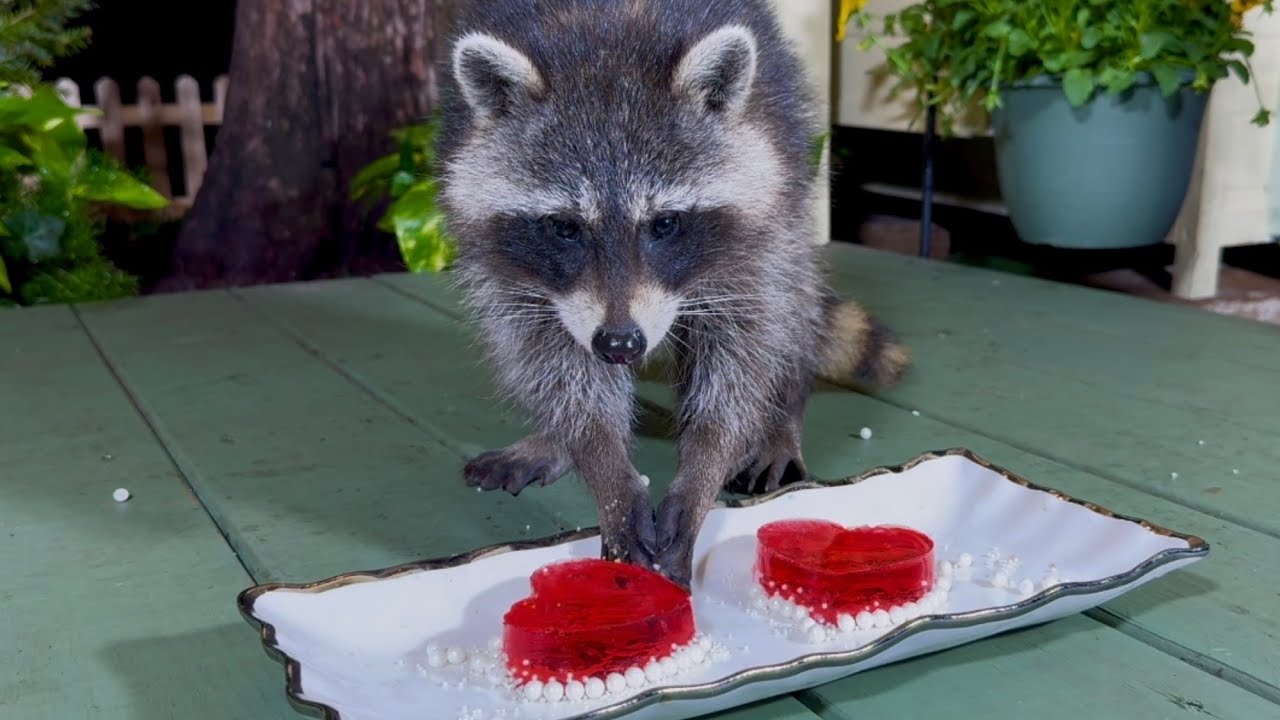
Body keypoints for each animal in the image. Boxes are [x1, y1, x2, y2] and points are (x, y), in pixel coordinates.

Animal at [434, 0, 911, 588]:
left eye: (664, 224)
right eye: (565, 228)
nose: (620, 344)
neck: (603, 44)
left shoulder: (751, 227)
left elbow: (743, 349)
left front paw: (705, 465)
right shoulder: (507, 261)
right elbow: (551, 359)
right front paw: (605, 469)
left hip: (787, 159)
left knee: (791, 295)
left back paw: (782, 411)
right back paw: (556, 437)